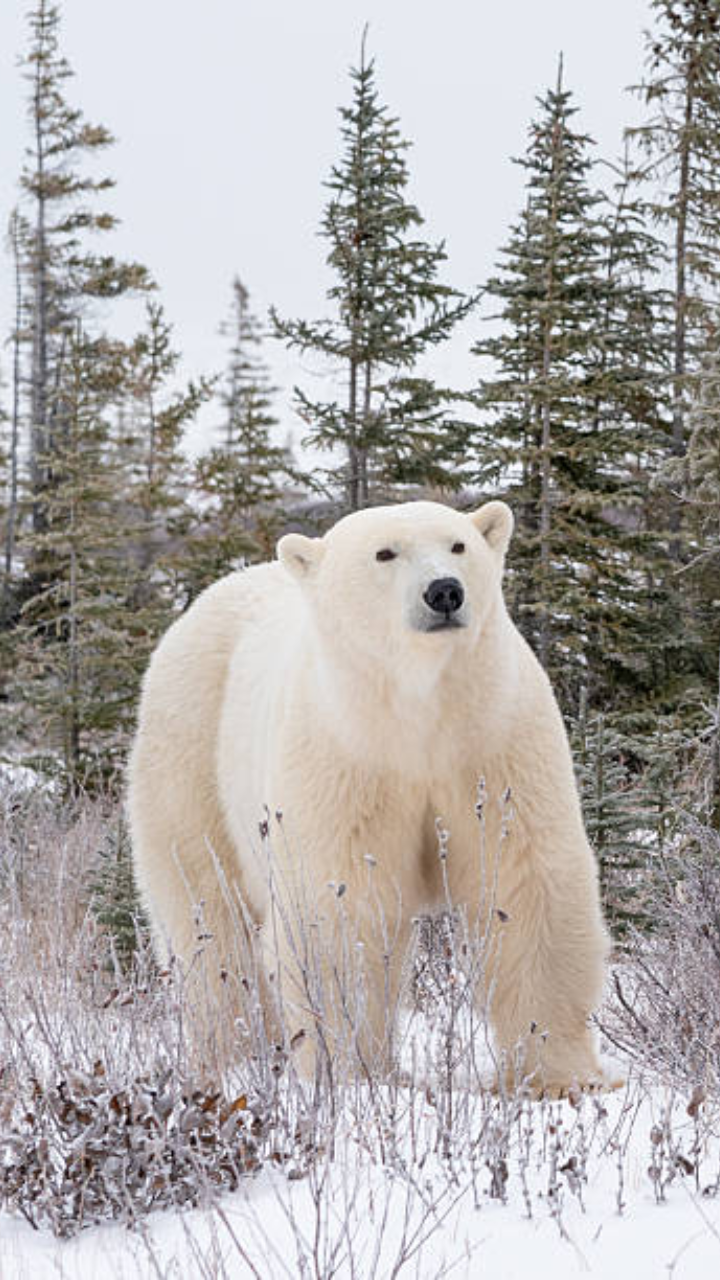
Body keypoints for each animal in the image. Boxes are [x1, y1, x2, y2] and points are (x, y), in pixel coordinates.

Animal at [127, 499, 613, 1094]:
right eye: (385, 553)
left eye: (458, 545)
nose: (444, 591)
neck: (419, 711)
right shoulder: (345, 756)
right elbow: (340, 906)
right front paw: (350, 1075)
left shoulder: (496, 741)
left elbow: (527, 884)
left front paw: (561, 1077)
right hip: (190, 745)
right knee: (207, 915)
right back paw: (232, 1054)